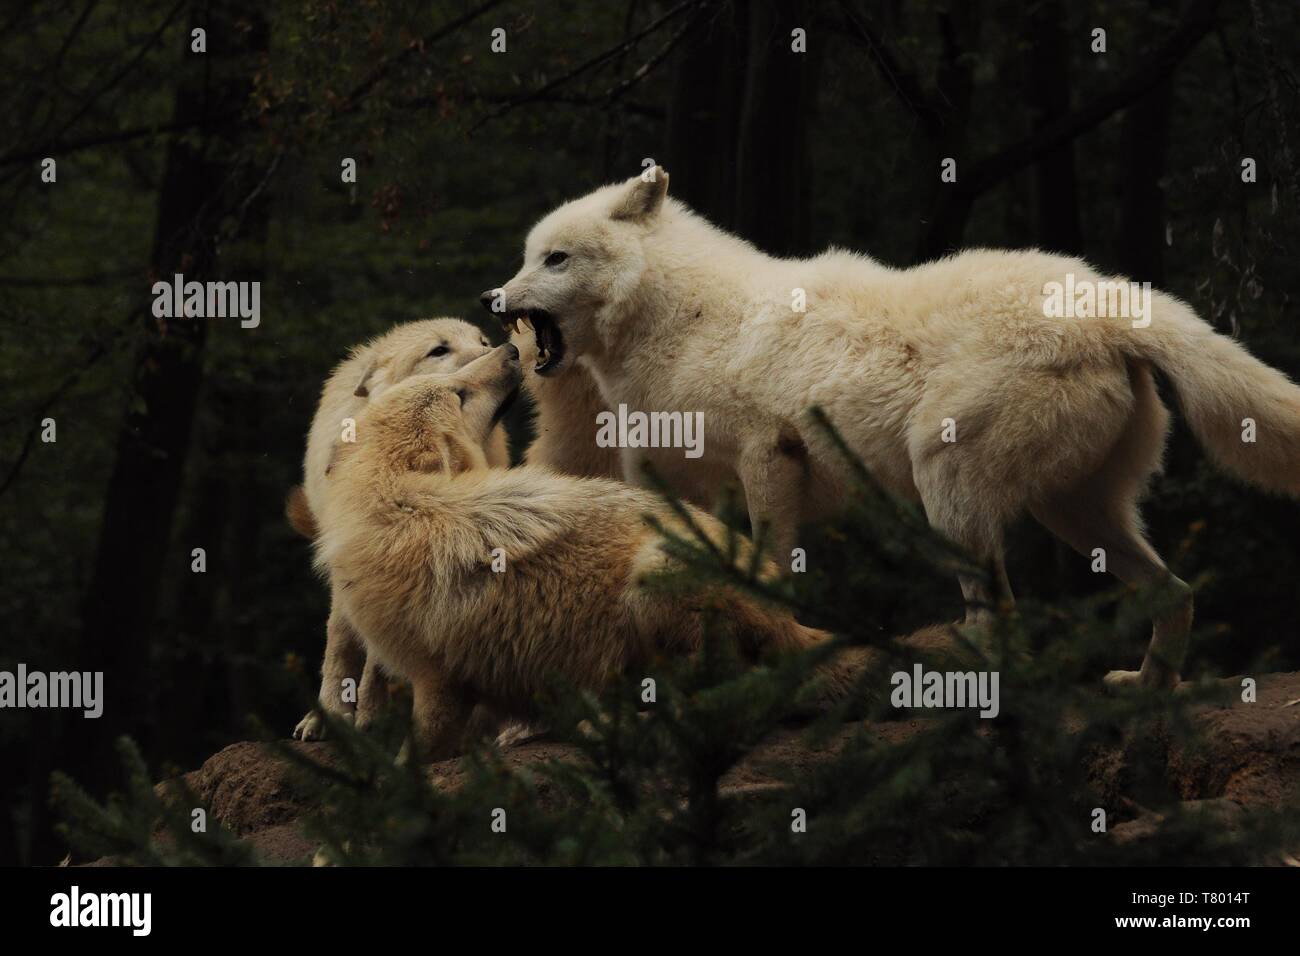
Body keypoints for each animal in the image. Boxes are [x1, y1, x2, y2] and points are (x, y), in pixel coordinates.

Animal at [289, 318, 510, 741]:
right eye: (439, 351)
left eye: (482, 340)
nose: (505, 351)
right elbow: (340, 642)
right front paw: (330, 714)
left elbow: (377, 655)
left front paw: (369, 714)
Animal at [316, 343, 852, 761]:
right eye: (458, 392)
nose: (509, 350)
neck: (400, 514)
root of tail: (789, 621)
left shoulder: (437, 681)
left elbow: (413, 757)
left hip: (654, 574)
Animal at [484, 167, 1300, 691]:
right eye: (526, 257)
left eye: (556, 258)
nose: (495, 298)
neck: (685, 323)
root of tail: (1109, 301)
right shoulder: (686, 490)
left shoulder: (767, 460)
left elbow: (768, 567)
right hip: (1073, 512)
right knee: (1175, 589)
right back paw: (1146, 685)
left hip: (951, 491)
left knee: (1003, 610)